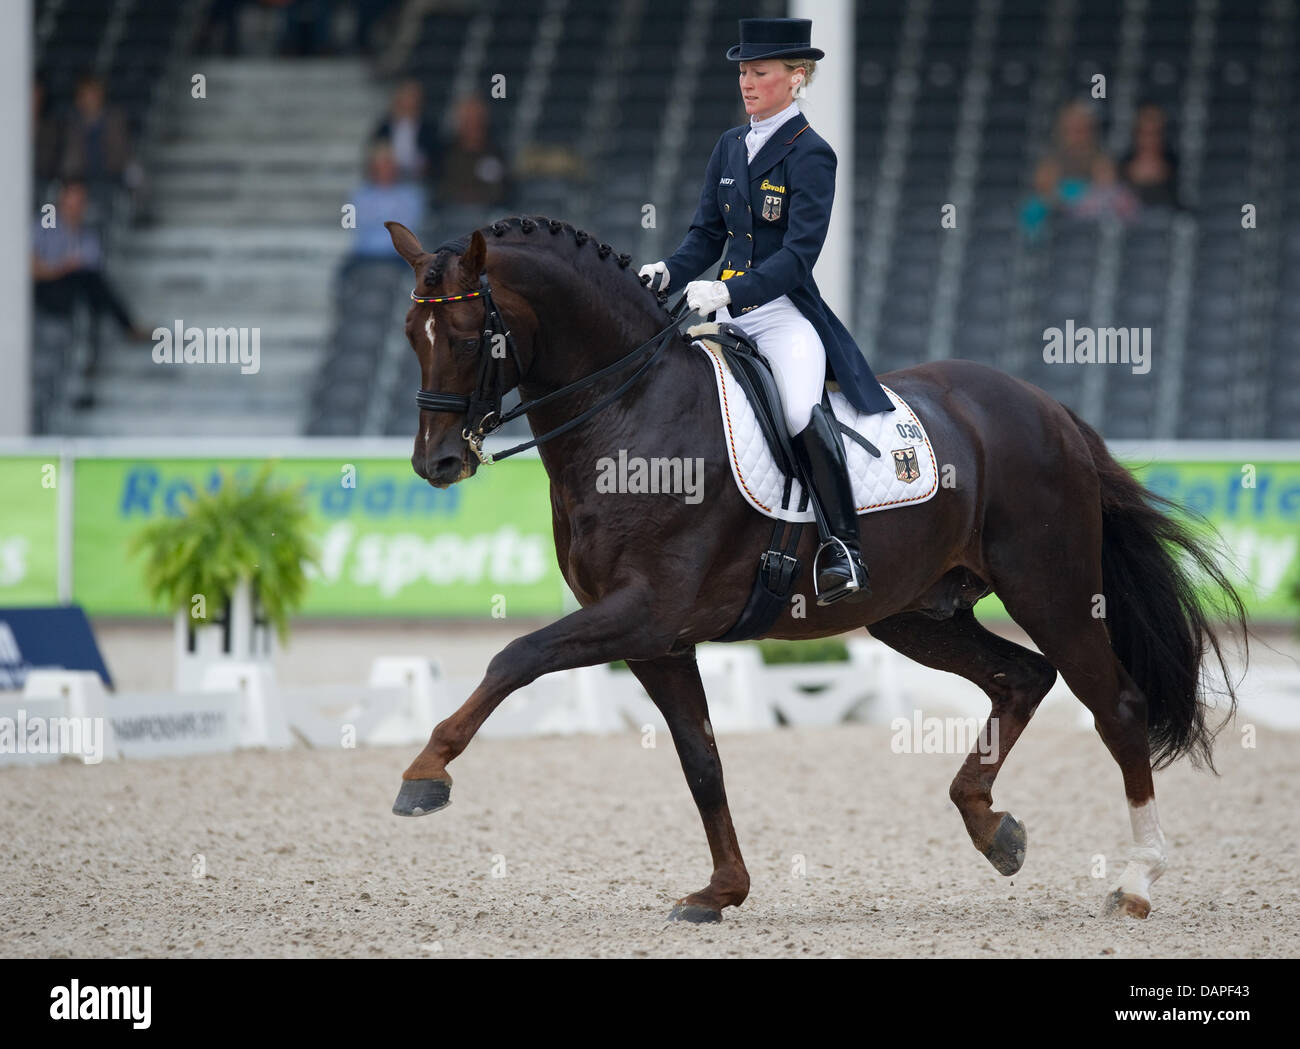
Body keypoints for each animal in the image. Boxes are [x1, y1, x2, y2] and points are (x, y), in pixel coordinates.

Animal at [382, 214, 1247, 924]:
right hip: (915, 612)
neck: (633, 416)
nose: (437, 463)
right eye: (411, 333)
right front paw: (722, 890)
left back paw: (1135, 880)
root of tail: (1046, 407)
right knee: (1022, 678)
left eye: (470, 334)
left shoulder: (644, 610)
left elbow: (514, 655)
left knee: (1117, 706)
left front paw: (425, 774)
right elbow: (702, 759)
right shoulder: (657, 639)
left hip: (1053, 590)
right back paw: (992, 826)